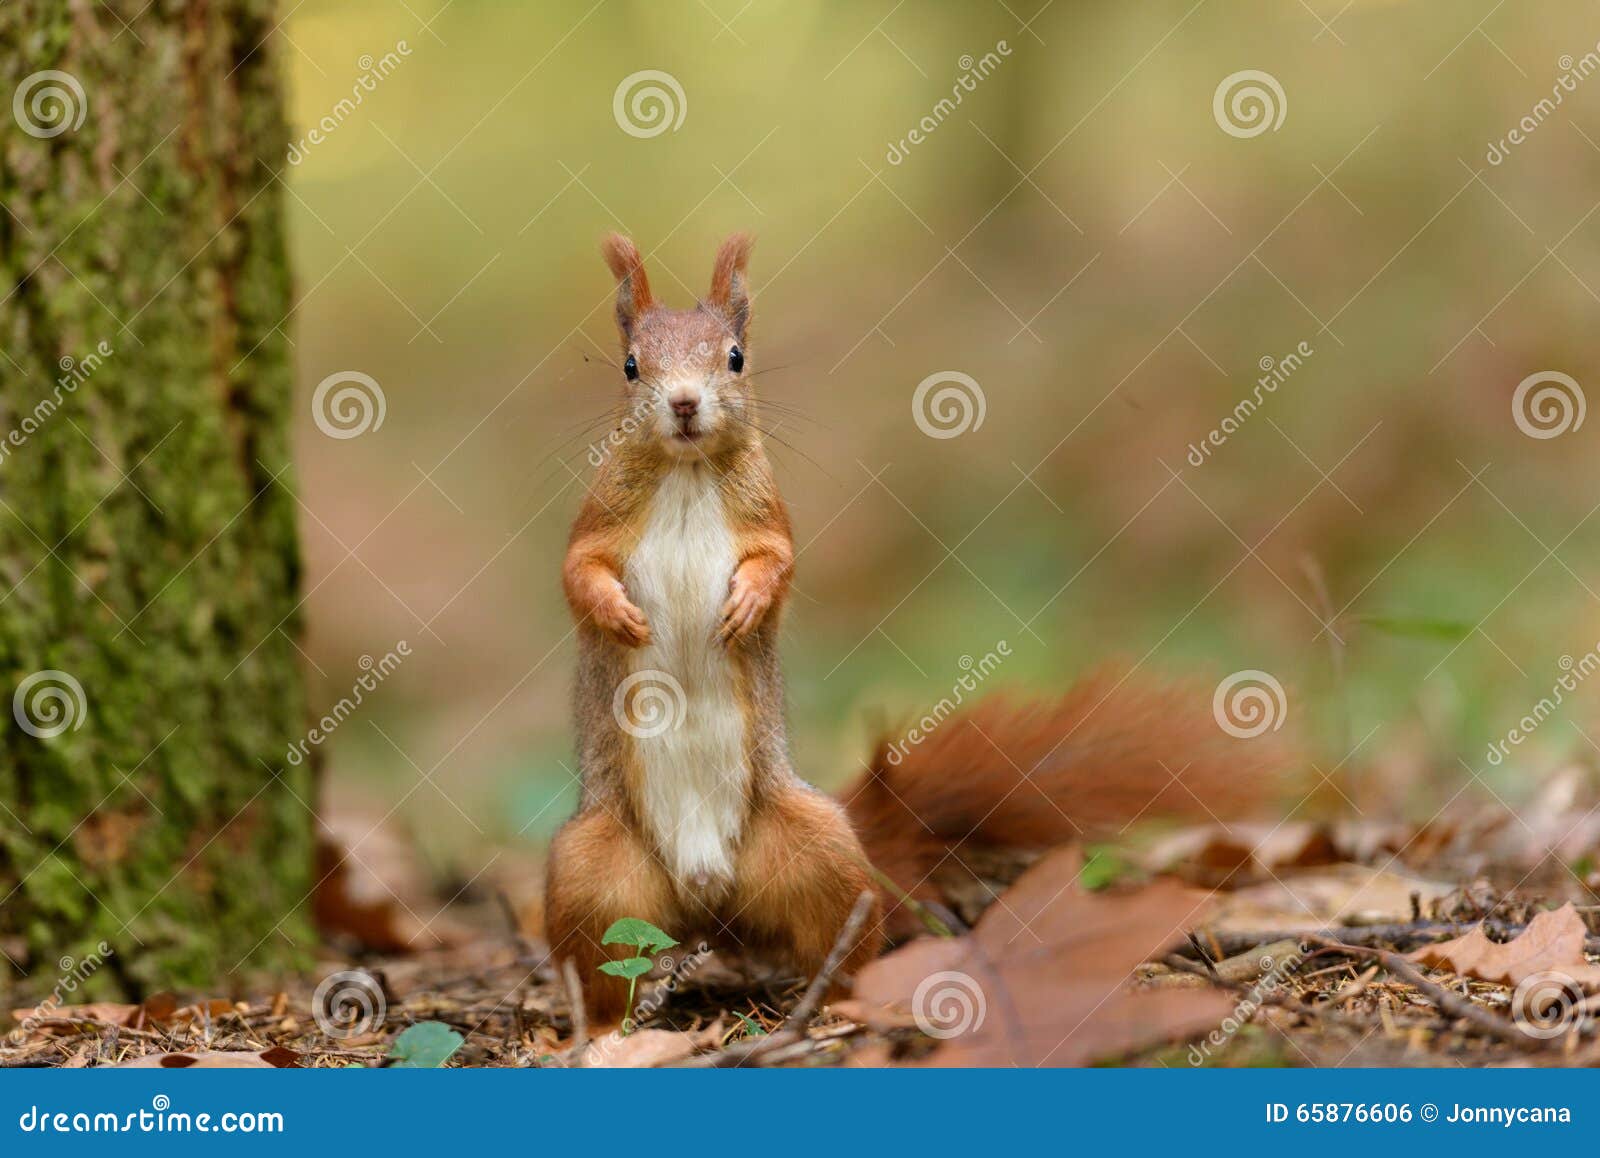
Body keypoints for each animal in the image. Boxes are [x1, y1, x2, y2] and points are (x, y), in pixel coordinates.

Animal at [545, 233, 1294, 1024]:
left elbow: (779, 563)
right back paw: (597, 1032)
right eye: (632, 366)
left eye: (736, 357)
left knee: (842, 932)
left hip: (821, 851)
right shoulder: (597, 521)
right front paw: (617, 614)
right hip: (592, 875)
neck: (685, 472)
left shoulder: (769, 518)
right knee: (601, 968)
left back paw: (839, 1001)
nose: (685, 403)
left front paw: (748, 602)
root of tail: (707, 899)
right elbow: (578, 572)